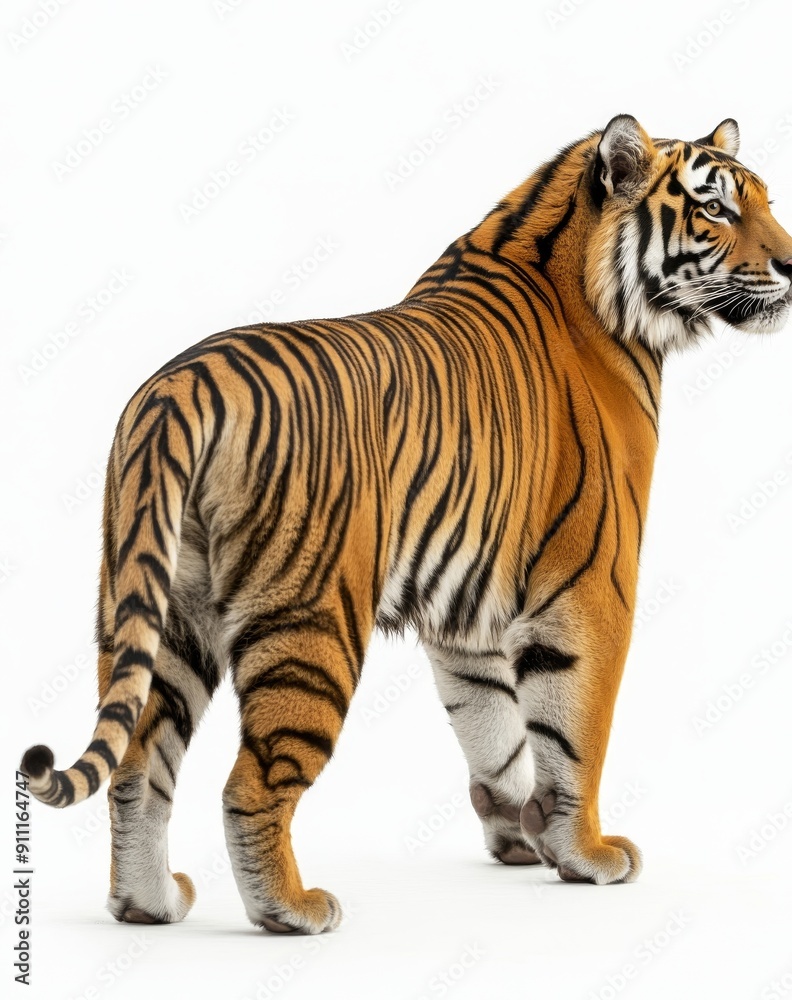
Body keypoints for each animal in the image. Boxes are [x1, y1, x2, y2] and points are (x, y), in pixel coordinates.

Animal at [21, 114, 792, 934]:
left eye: (766, 201)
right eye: (716, 209)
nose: (791, 261)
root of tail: (183, 385)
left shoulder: (469, 612)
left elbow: (493, 731)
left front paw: (523, 836)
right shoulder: (591, 586)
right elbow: (574, 731)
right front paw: (586, 854)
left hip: (159, 613)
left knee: (137, 767)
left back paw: (150, 904)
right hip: (311, 622)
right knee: (250, 783)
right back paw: (291, 910)